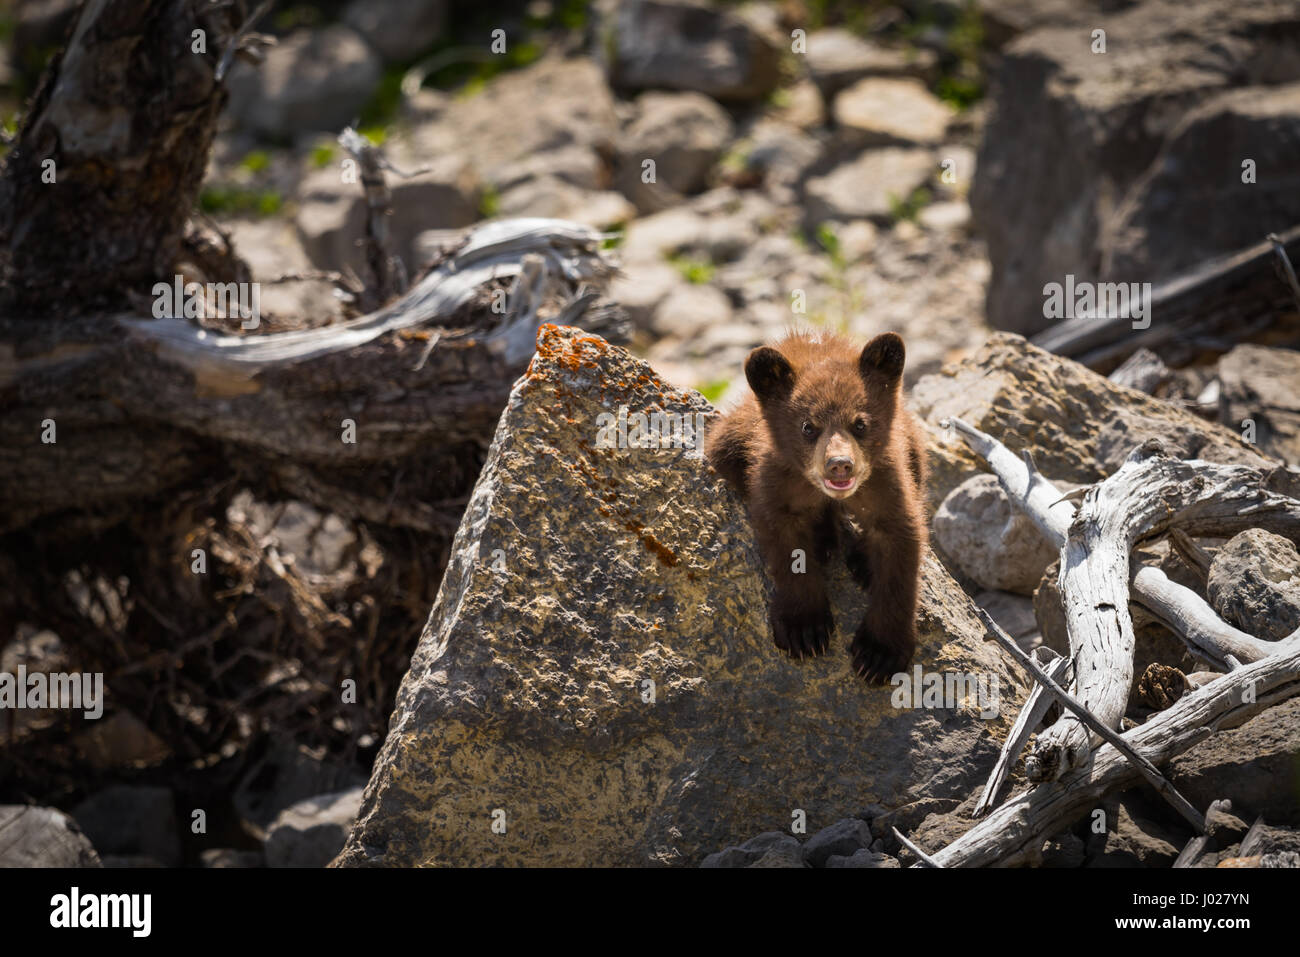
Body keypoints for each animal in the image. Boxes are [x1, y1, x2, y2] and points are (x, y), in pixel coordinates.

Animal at [705, 329, 928, 684]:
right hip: (731, 441)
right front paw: (804, 629)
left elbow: (900, 546)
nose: (840, 464)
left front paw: (880, 653)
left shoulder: (887, 479)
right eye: (808, 426)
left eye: (860, 424)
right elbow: (786, 546)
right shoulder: (775, 480)